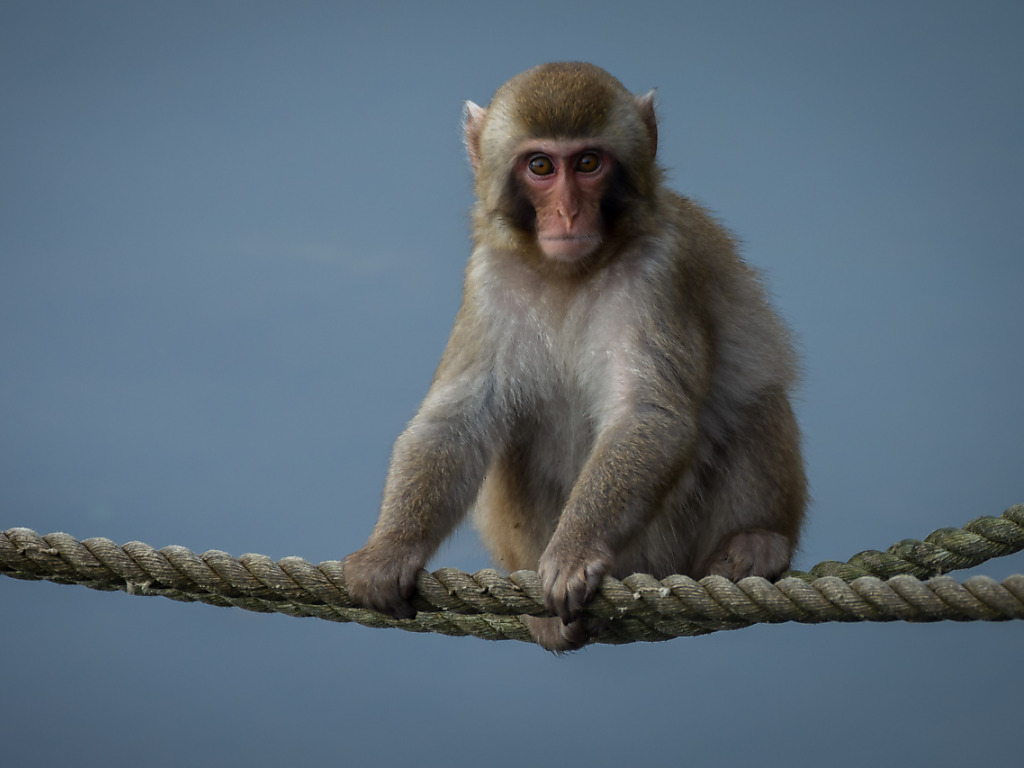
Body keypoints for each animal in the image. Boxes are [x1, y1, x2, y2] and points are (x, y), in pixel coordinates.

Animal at [343, 62, 807, 650]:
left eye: (588, 163)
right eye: (540, 166)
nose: (567, 211)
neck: (568, 272)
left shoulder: (660, 270)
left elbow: (647, 413)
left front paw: (574, 550)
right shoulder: (488, 276)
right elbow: (456, 421)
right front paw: (389, 551)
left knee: (755, 399)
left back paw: (758, 544)